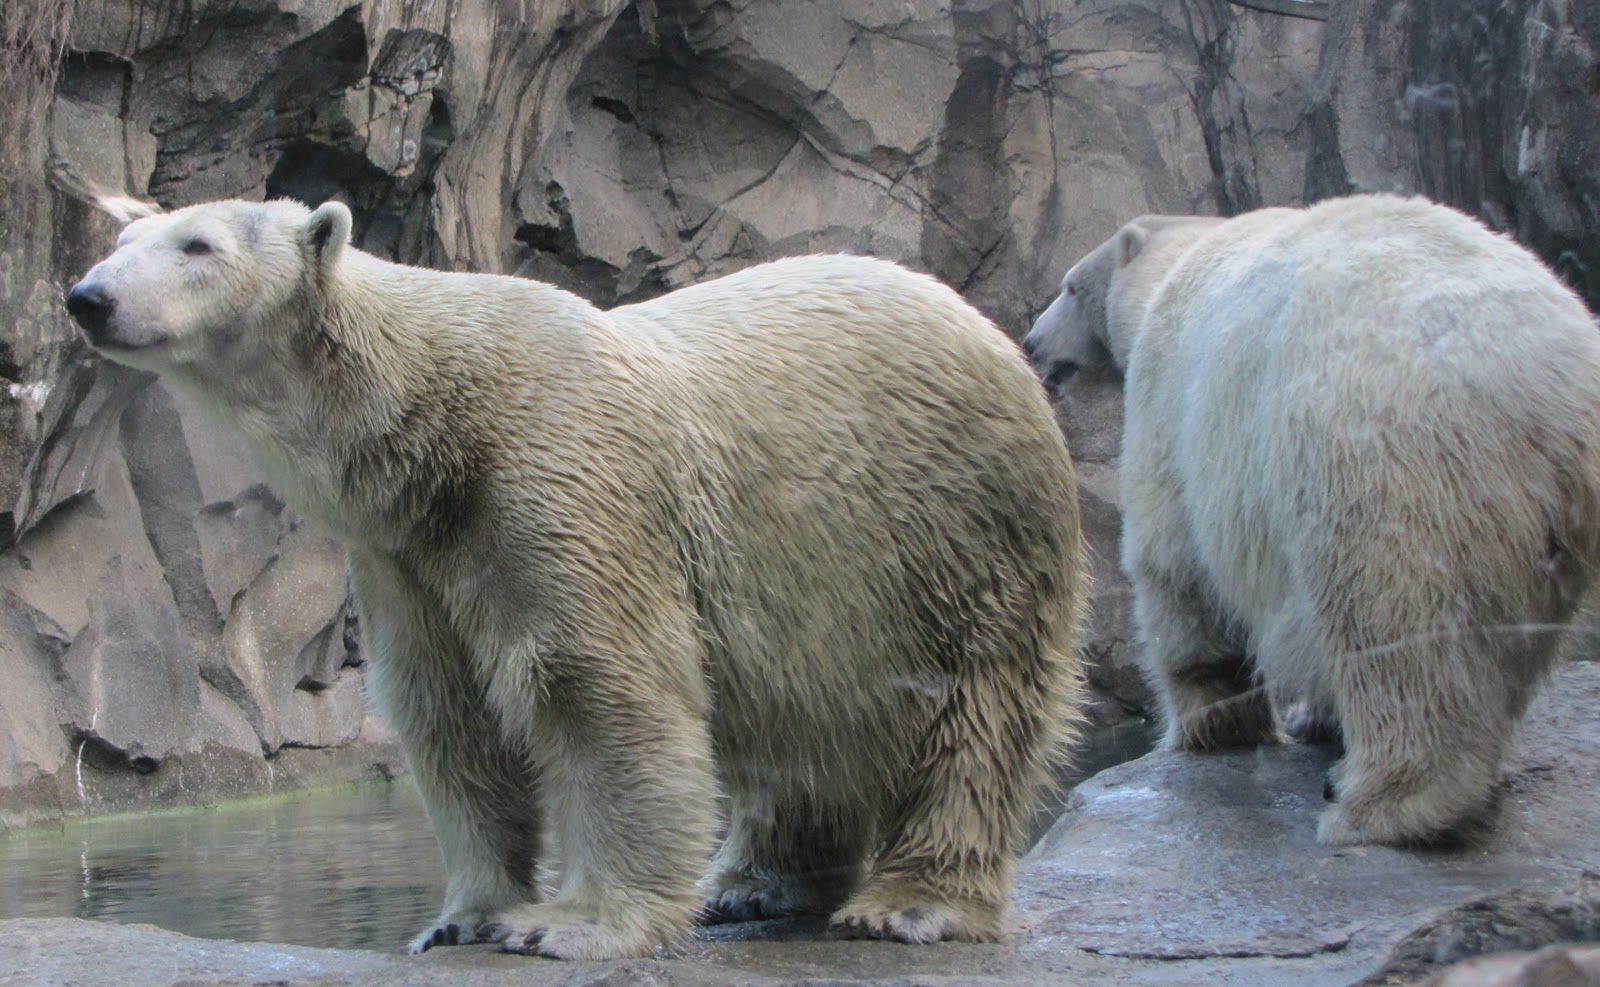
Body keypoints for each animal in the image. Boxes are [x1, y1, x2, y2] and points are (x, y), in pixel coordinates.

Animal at [65, 198, 1087, 959]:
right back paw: (750, 885)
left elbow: (599, 687)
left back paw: (909, 901)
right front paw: (461, 917)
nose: (87, 296)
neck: (429, 419)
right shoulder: (407, 555)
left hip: (962, 528)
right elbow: (449, 713)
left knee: (974, 709)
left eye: (195, 244)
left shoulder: (558, 479)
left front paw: (569, 923)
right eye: (118, 242)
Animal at [1022, 194, 1600, 847]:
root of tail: (1547, 386)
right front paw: (1314, 719)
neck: (1179, 260)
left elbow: (1176, 563)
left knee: (1393, 629)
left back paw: (1371, 804)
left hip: (1387, 457)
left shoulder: (1171, 397)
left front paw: (1210, 731)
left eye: (1069, 287)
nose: (1032, 341)